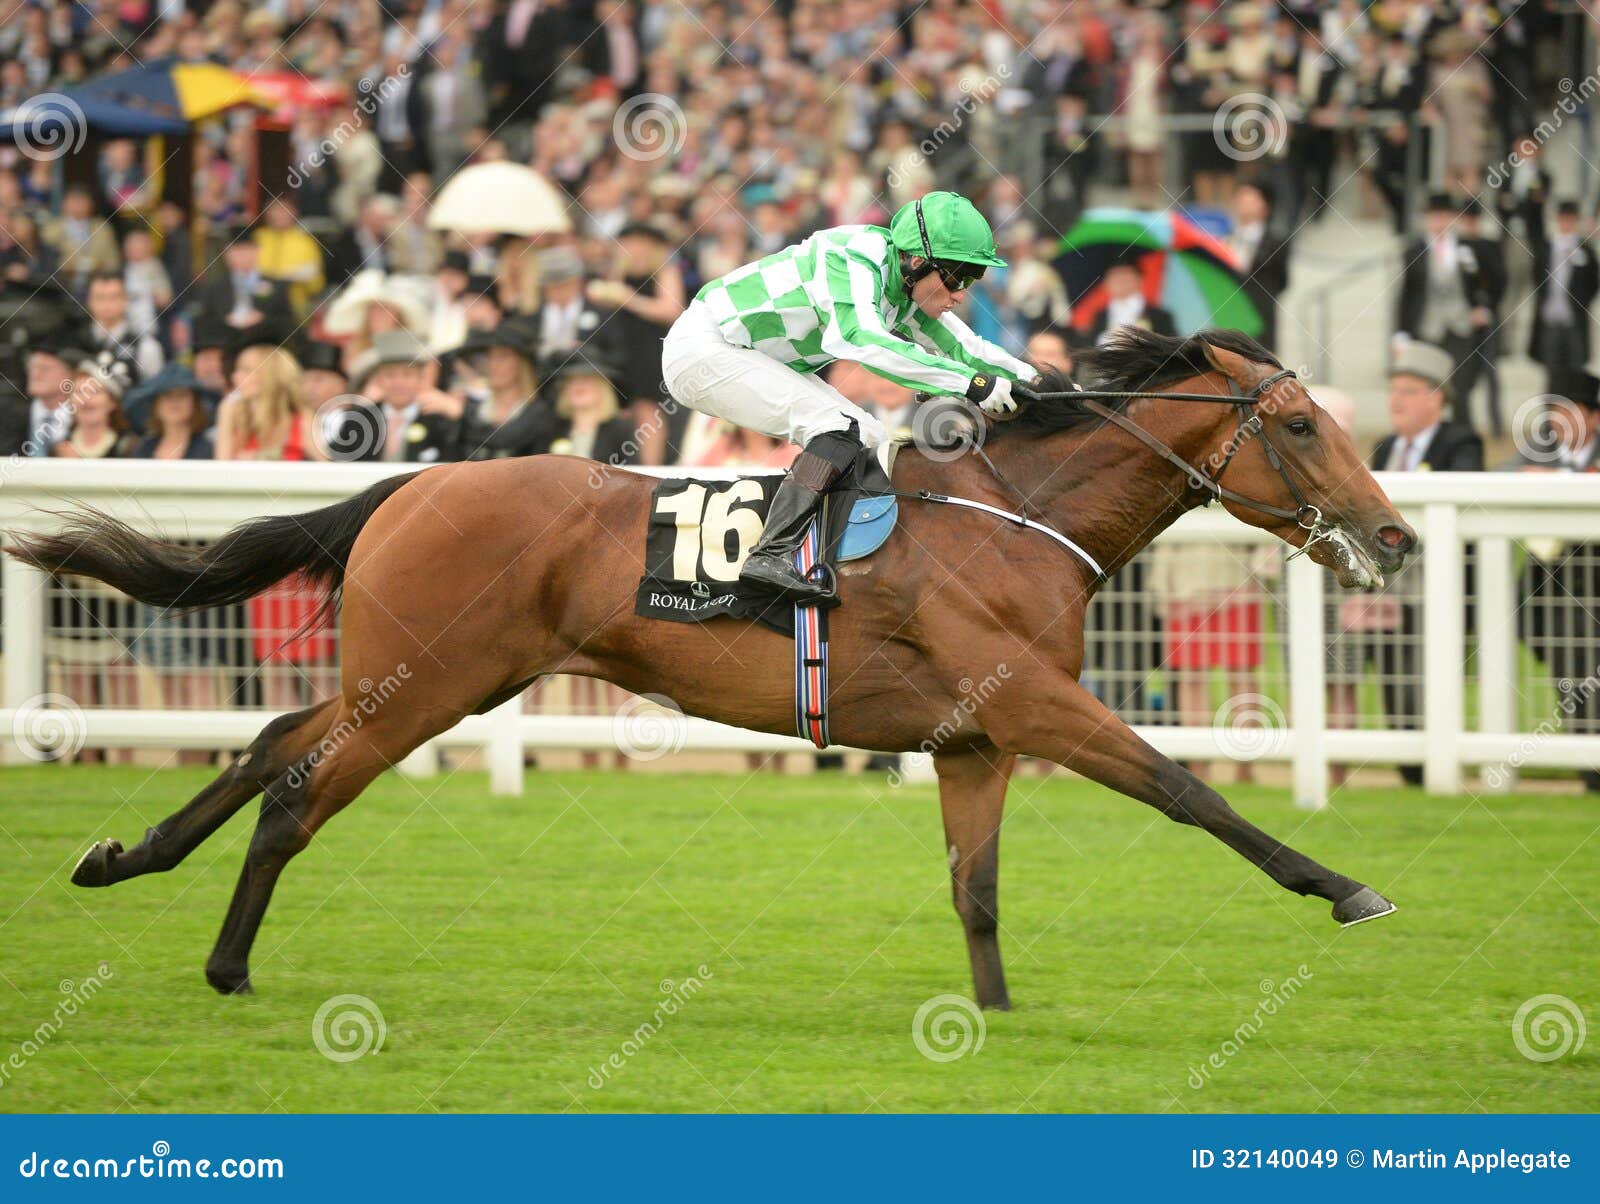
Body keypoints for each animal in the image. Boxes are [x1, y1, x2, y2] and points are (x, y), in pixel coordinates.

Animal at [8, 328, 1416, 1007]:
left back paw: (123, 856)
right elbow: (1189, 789)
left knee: (268, 739)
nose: (1396, 535)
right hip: (428, 683)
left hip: (418, 675)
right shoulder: (1032, 699)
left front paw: (996, 1017)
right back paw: (228, 965)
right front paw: (1343, 885)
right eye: (1301, 425)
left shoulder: (974, 734)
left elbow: (976, 891)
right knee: (300, 788)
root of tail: (418, 479)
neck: (1014, 513)